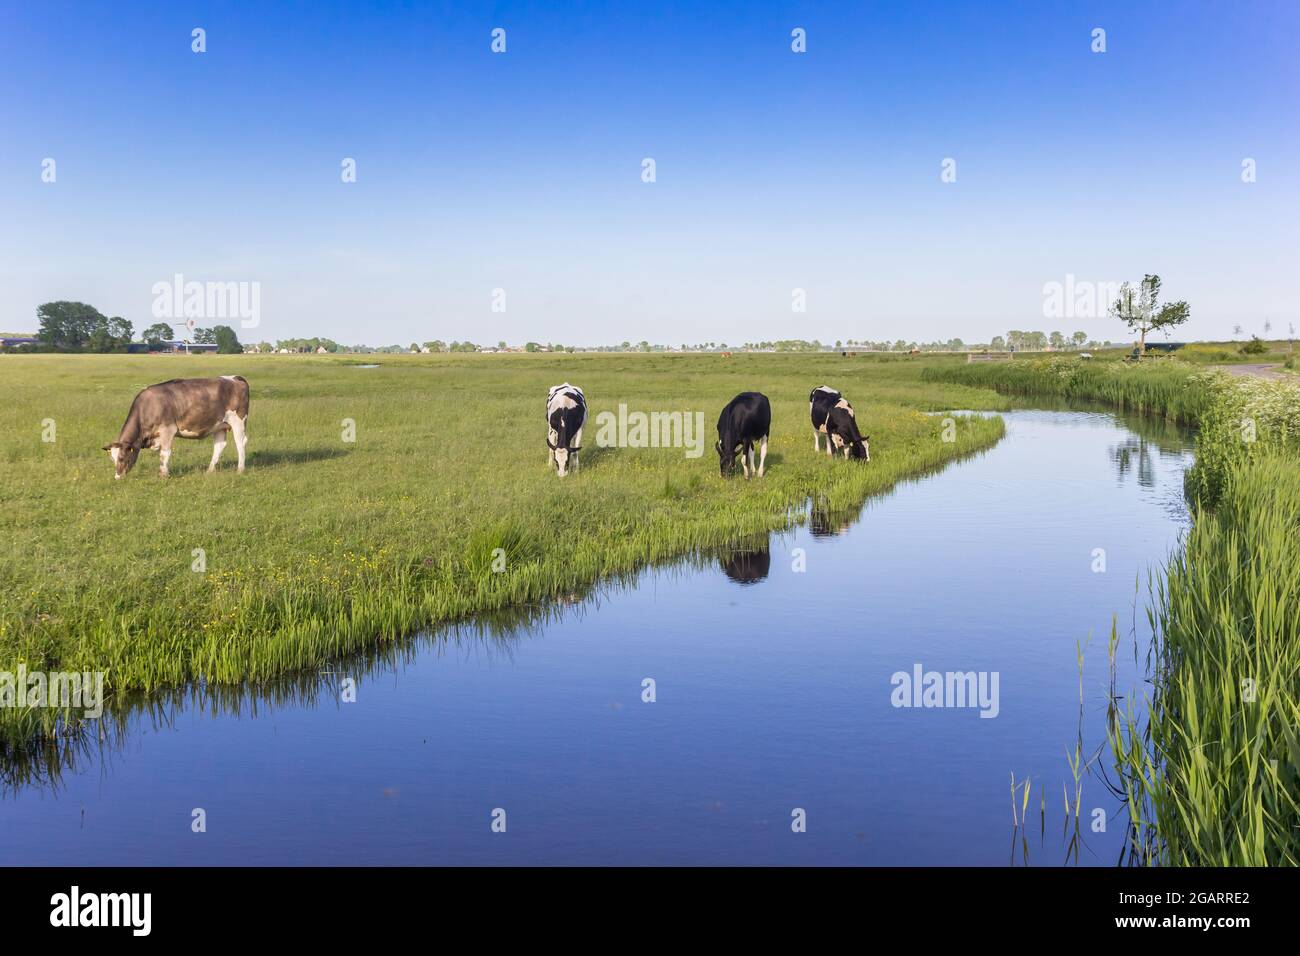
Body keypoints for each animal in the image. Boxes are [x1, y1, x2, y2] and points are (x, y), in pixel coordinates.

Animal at [103, 376, 249, 479]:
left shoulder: (168, 430)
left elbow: (164, 453)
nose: (117, 477)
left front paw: (164, 475)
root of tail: (235, 378)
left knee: (240, 443)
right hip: (219, 425)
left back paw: (240, 469)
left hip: (238, 422)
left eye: (122, 457)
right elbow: (161, 454)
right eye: (112, 459)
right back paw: (209, 470)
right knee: (219, 446)